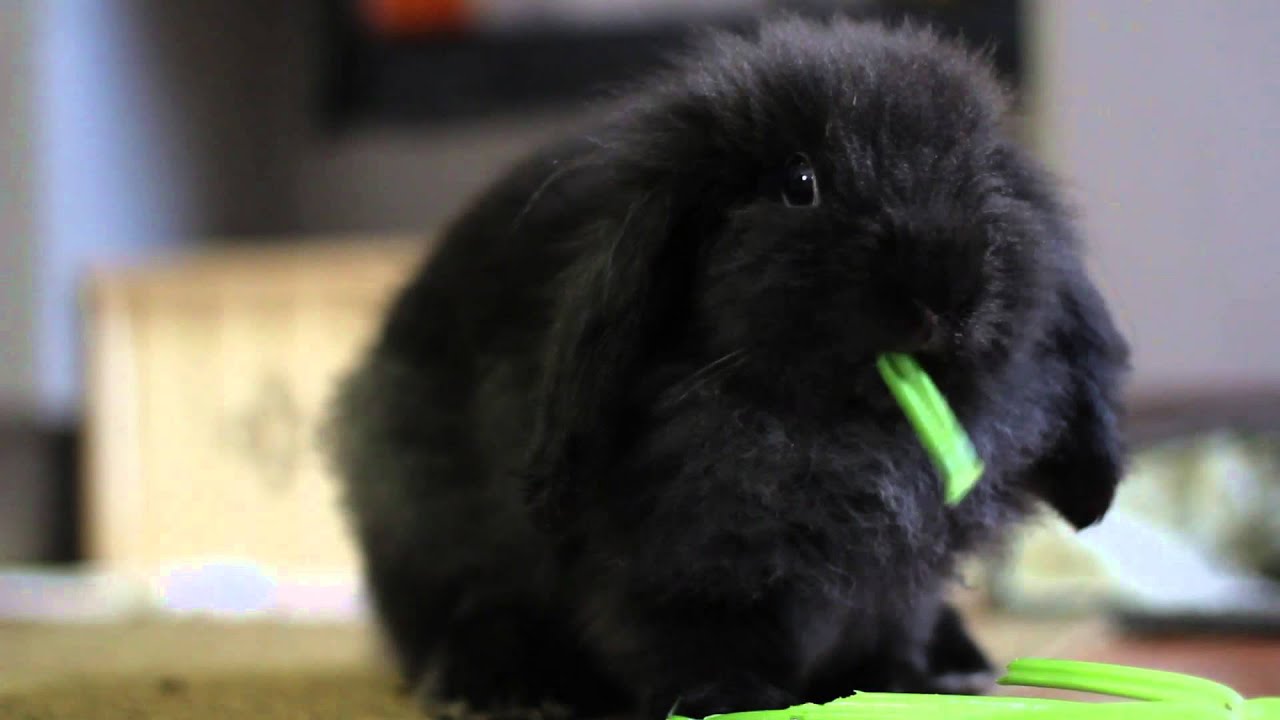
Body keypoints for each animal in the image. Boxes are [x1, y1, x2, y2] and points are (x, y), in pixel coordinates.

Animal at [325, 15, 1130, 720]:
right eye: (799, 184)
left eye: (981, 174)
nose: (943, 293)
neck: (845, 443)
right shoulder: (666, 573)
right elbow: (686, 642)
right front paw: (732, 701)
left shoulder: (897, 585)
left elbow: (892, 628)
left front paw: (898, 685)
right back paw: (500, 689)